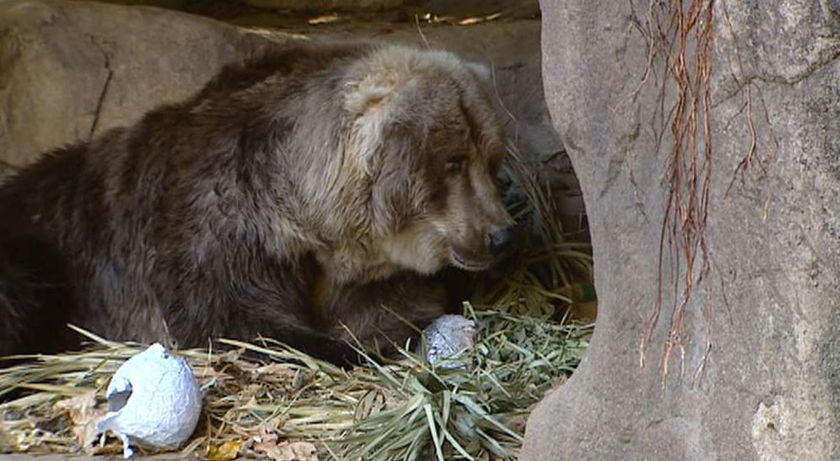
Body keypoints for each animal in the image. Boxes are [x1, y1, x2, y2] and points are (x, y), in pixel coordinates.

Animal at [0, 41, 515, 365]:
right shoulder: (212, 217)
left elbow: (391, 307)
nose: (501, 232)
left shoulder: (356, 271)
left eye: (491, 157)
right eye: (453, 161)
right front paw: (344, 349)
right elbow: (234, 320)